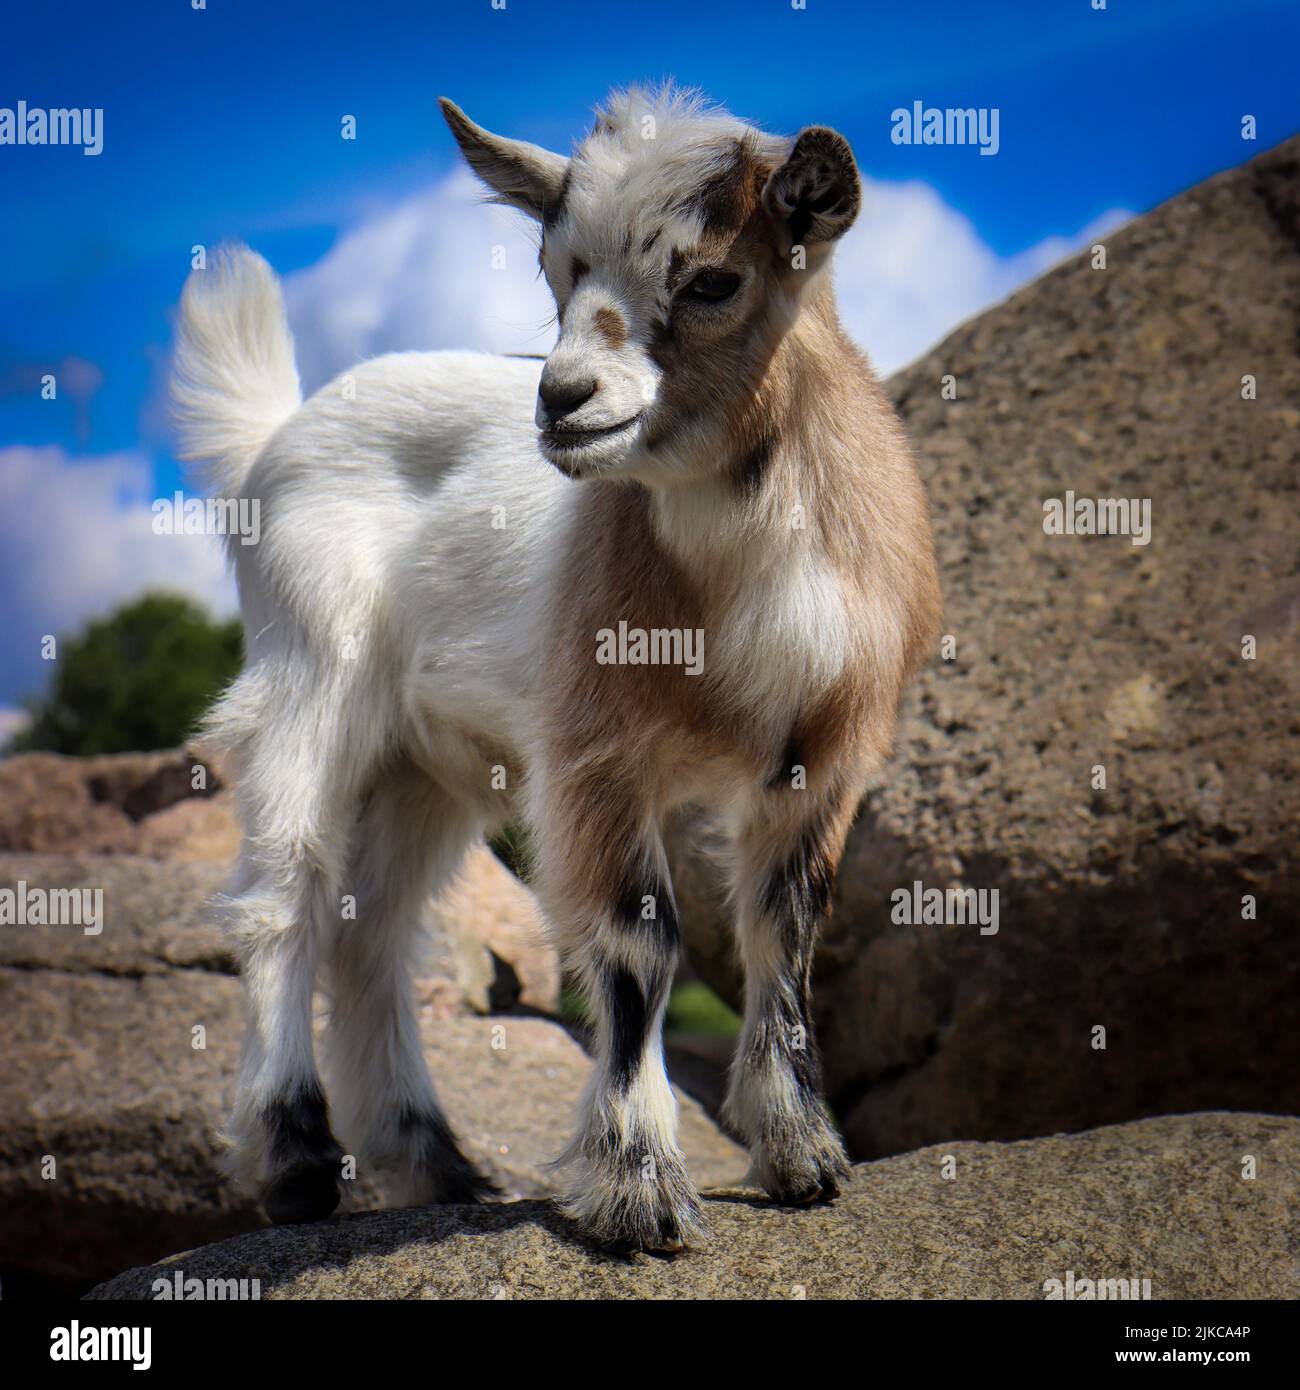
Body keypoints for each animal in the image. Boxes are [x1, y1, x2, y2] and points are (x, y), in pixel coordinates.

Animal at [172, 86, 941, 1253]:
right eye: (555, 273)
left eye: (713, 279)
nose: (563, 401)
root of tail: (273, 436)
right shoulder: (596, 746)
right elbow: (640, 943)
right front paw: (639, 1192)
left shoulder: (825, 751)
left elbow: (787, 929)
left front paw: (802, 1158)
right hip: (309, 674)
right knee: (284, 896)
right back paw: (296, 1163)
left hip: (427, 765)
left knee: (370, 934)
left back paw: (432, 1164)